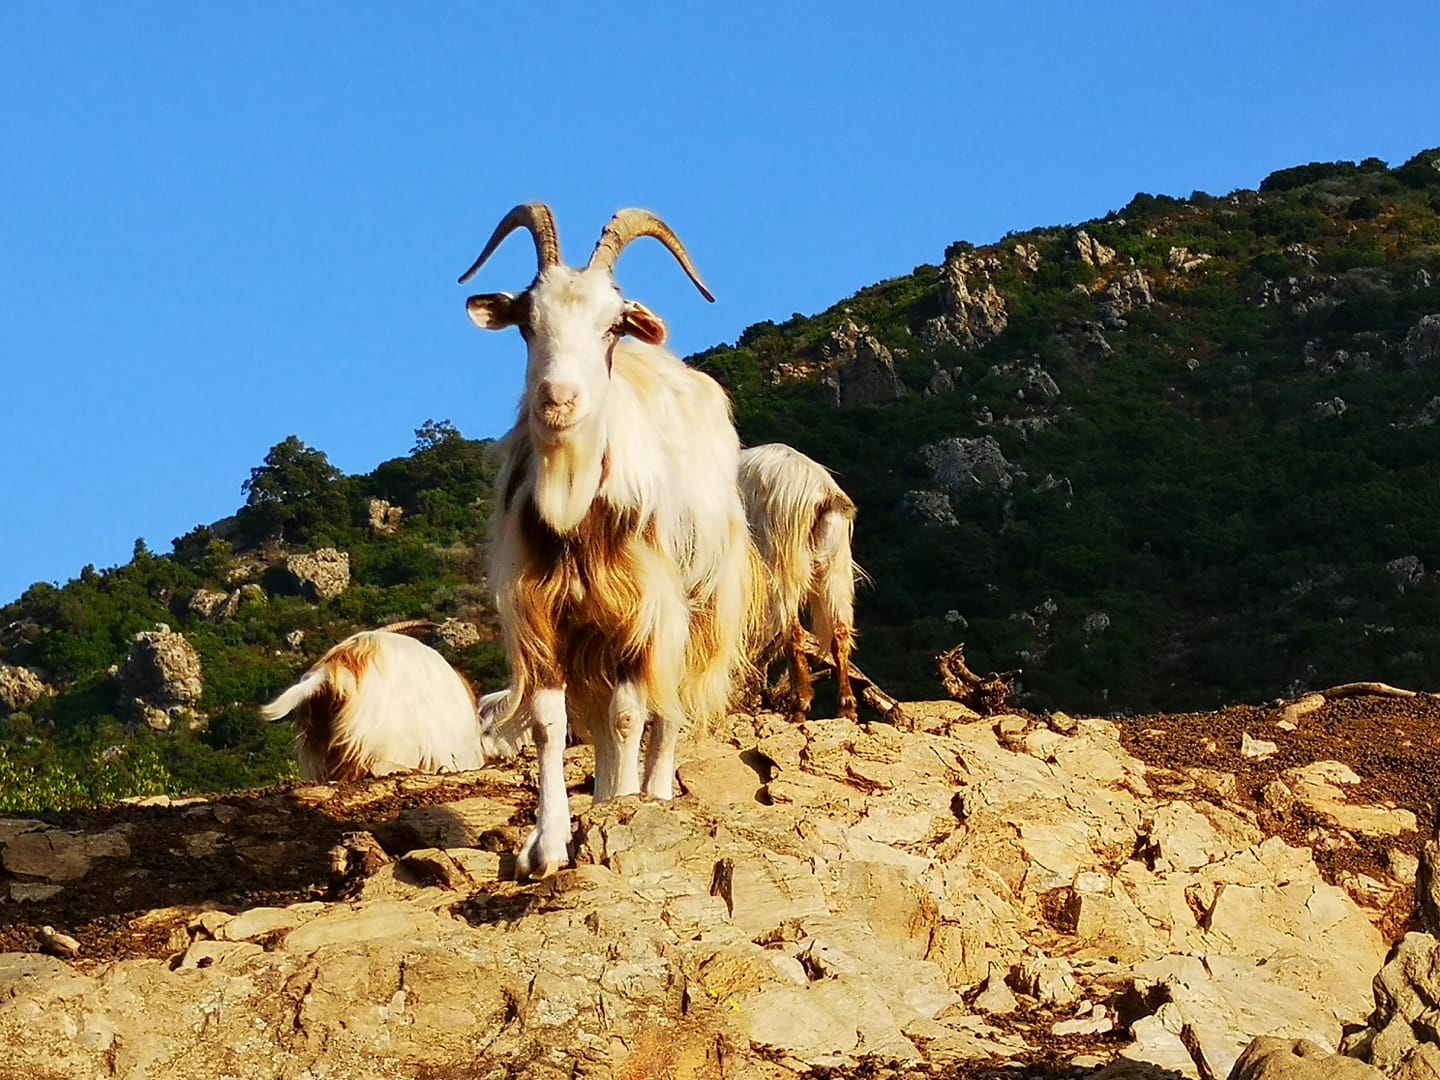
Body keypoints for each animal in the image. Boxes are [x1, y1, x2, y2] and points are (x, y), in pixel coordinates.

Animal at [461, 203, 757, 878]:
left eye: (611, 328)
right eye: (527, 324)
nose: (558, 400)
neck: (575, 506)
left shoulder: (642, 609)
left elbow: (629, 715)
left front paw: (624, 809)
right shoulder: (541, 613)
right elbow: (552, 724)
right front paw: (546, 846)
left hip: (700, 603)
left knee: (664, 706)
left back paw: (653, 792)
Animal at [739, 443, 864, 722]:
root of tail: (824, 494)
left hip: (783, 560)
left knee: (793, 630)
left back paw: (800, 705)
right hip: (835, 565)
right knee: (839, 632)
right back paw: (847, 709)